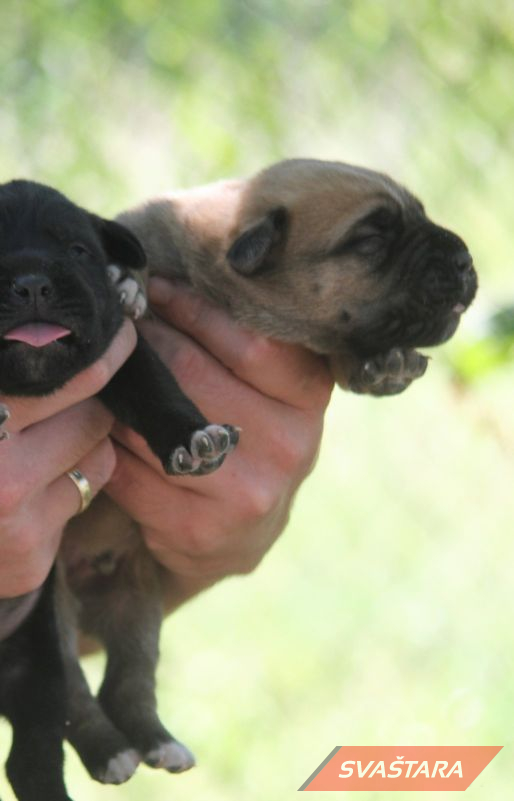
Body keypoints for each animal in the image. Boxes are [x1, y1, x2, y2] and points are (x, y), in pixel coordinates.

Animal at [0, 180, 236, 800]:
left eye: (78, 250)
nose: (31, 283)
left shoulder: (122, 358)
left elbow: (158, 393)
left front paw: (195, 439)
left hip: (41, 659)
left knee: (37, 751)